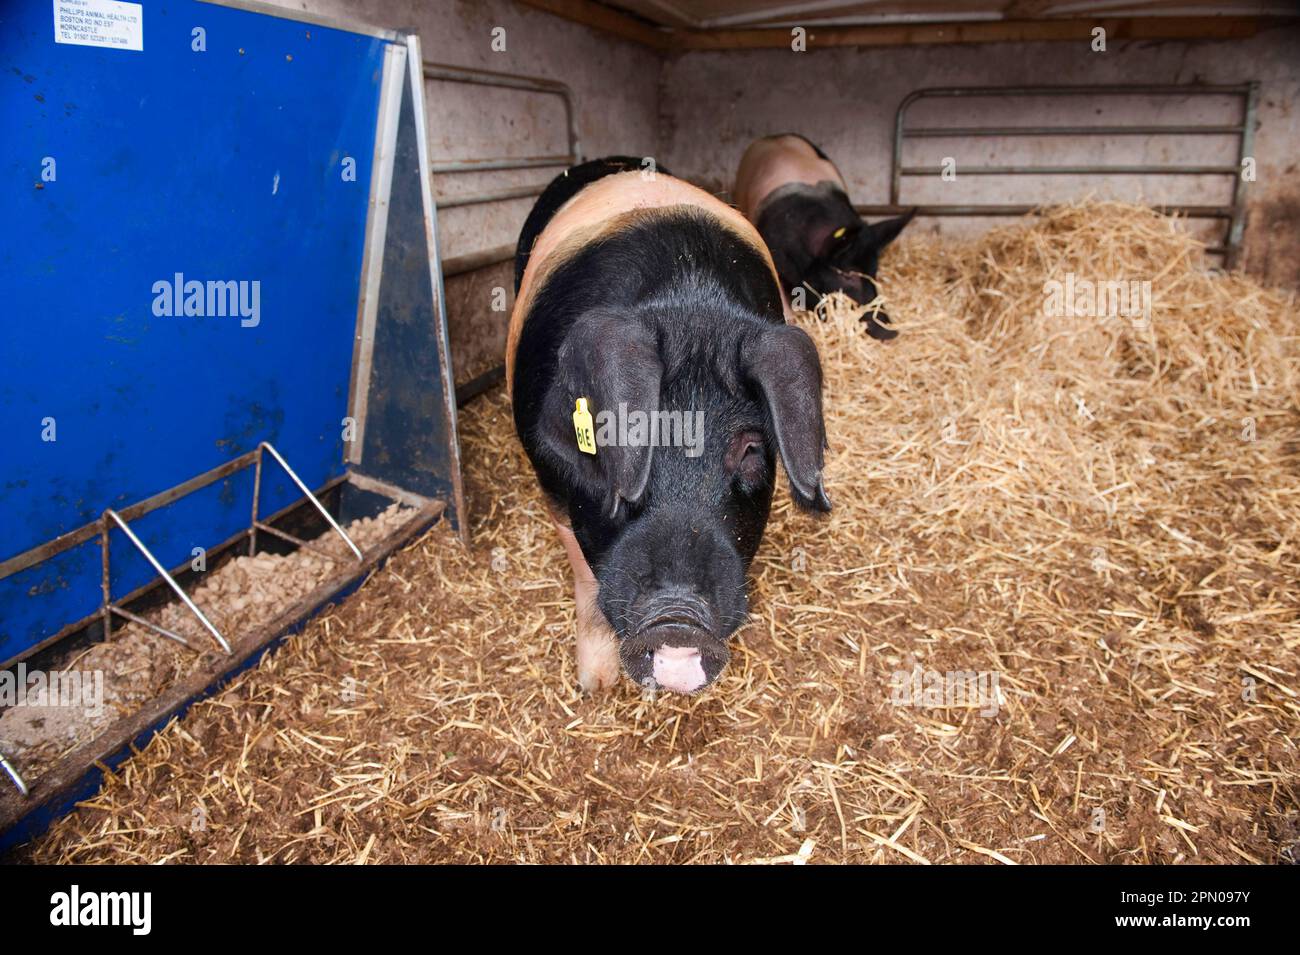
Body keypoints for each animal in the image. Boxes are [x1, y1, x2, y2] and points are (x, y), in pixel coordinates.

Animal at [509, 155, 831, 695]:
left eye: (751, 449)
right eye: (621, 436)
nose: (677, 619)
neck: (689, 301)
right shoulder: (547, 474)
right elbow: (584, 576)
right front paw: (596, 687)